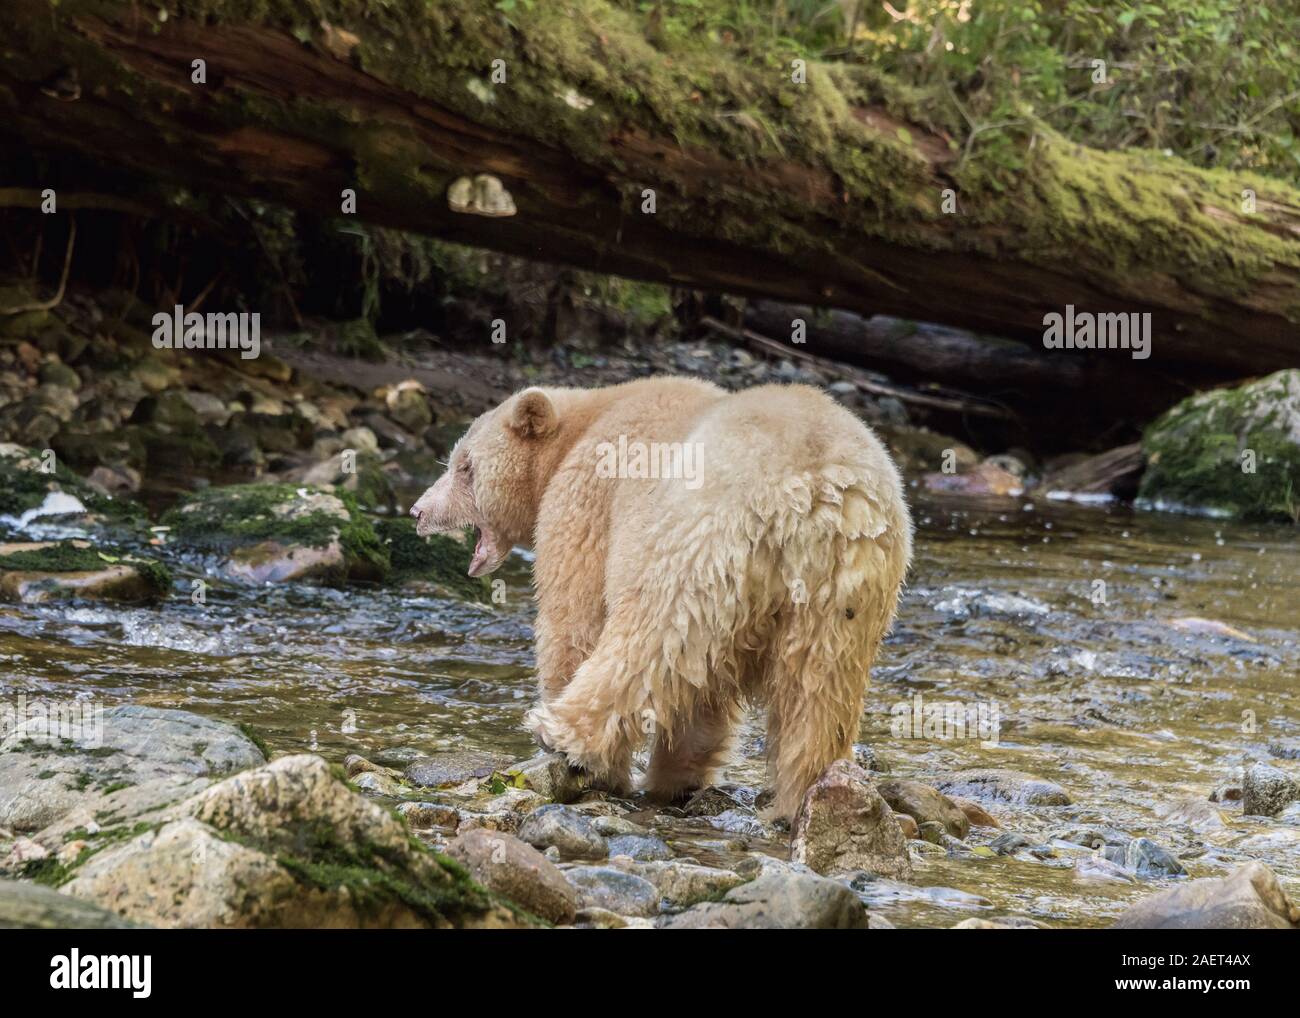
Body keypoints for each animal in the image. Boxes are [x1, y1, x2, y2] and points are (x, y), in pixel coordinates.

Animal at [410, 377, 912, 819]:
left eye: (464, 465)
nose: (417, 511)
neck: (583, 425)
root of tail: (812, 494)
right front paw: (678, 775)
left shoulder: (590, 497)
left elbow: (574, 618)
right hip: (847, 591)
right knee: (817, 690)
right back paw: (808, 791)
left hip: (696, 539)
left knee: (651, 638)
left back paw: (565, 734)